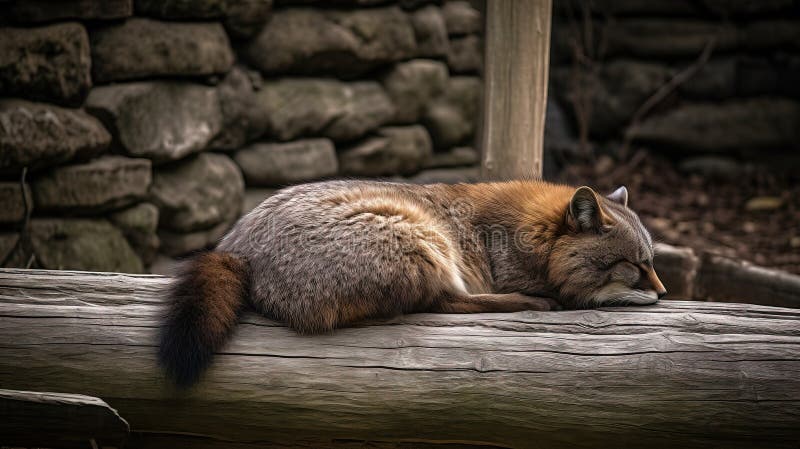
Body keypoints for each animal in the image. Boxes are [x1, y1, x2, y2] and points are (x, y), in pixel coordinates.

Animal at [158, 180, 666, 385]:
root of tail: (236, 247)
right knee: (441, 304)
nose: (663, 294)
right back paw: (526, 301)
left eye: (652, 262)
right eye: (634, 265)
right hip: (425, 240)